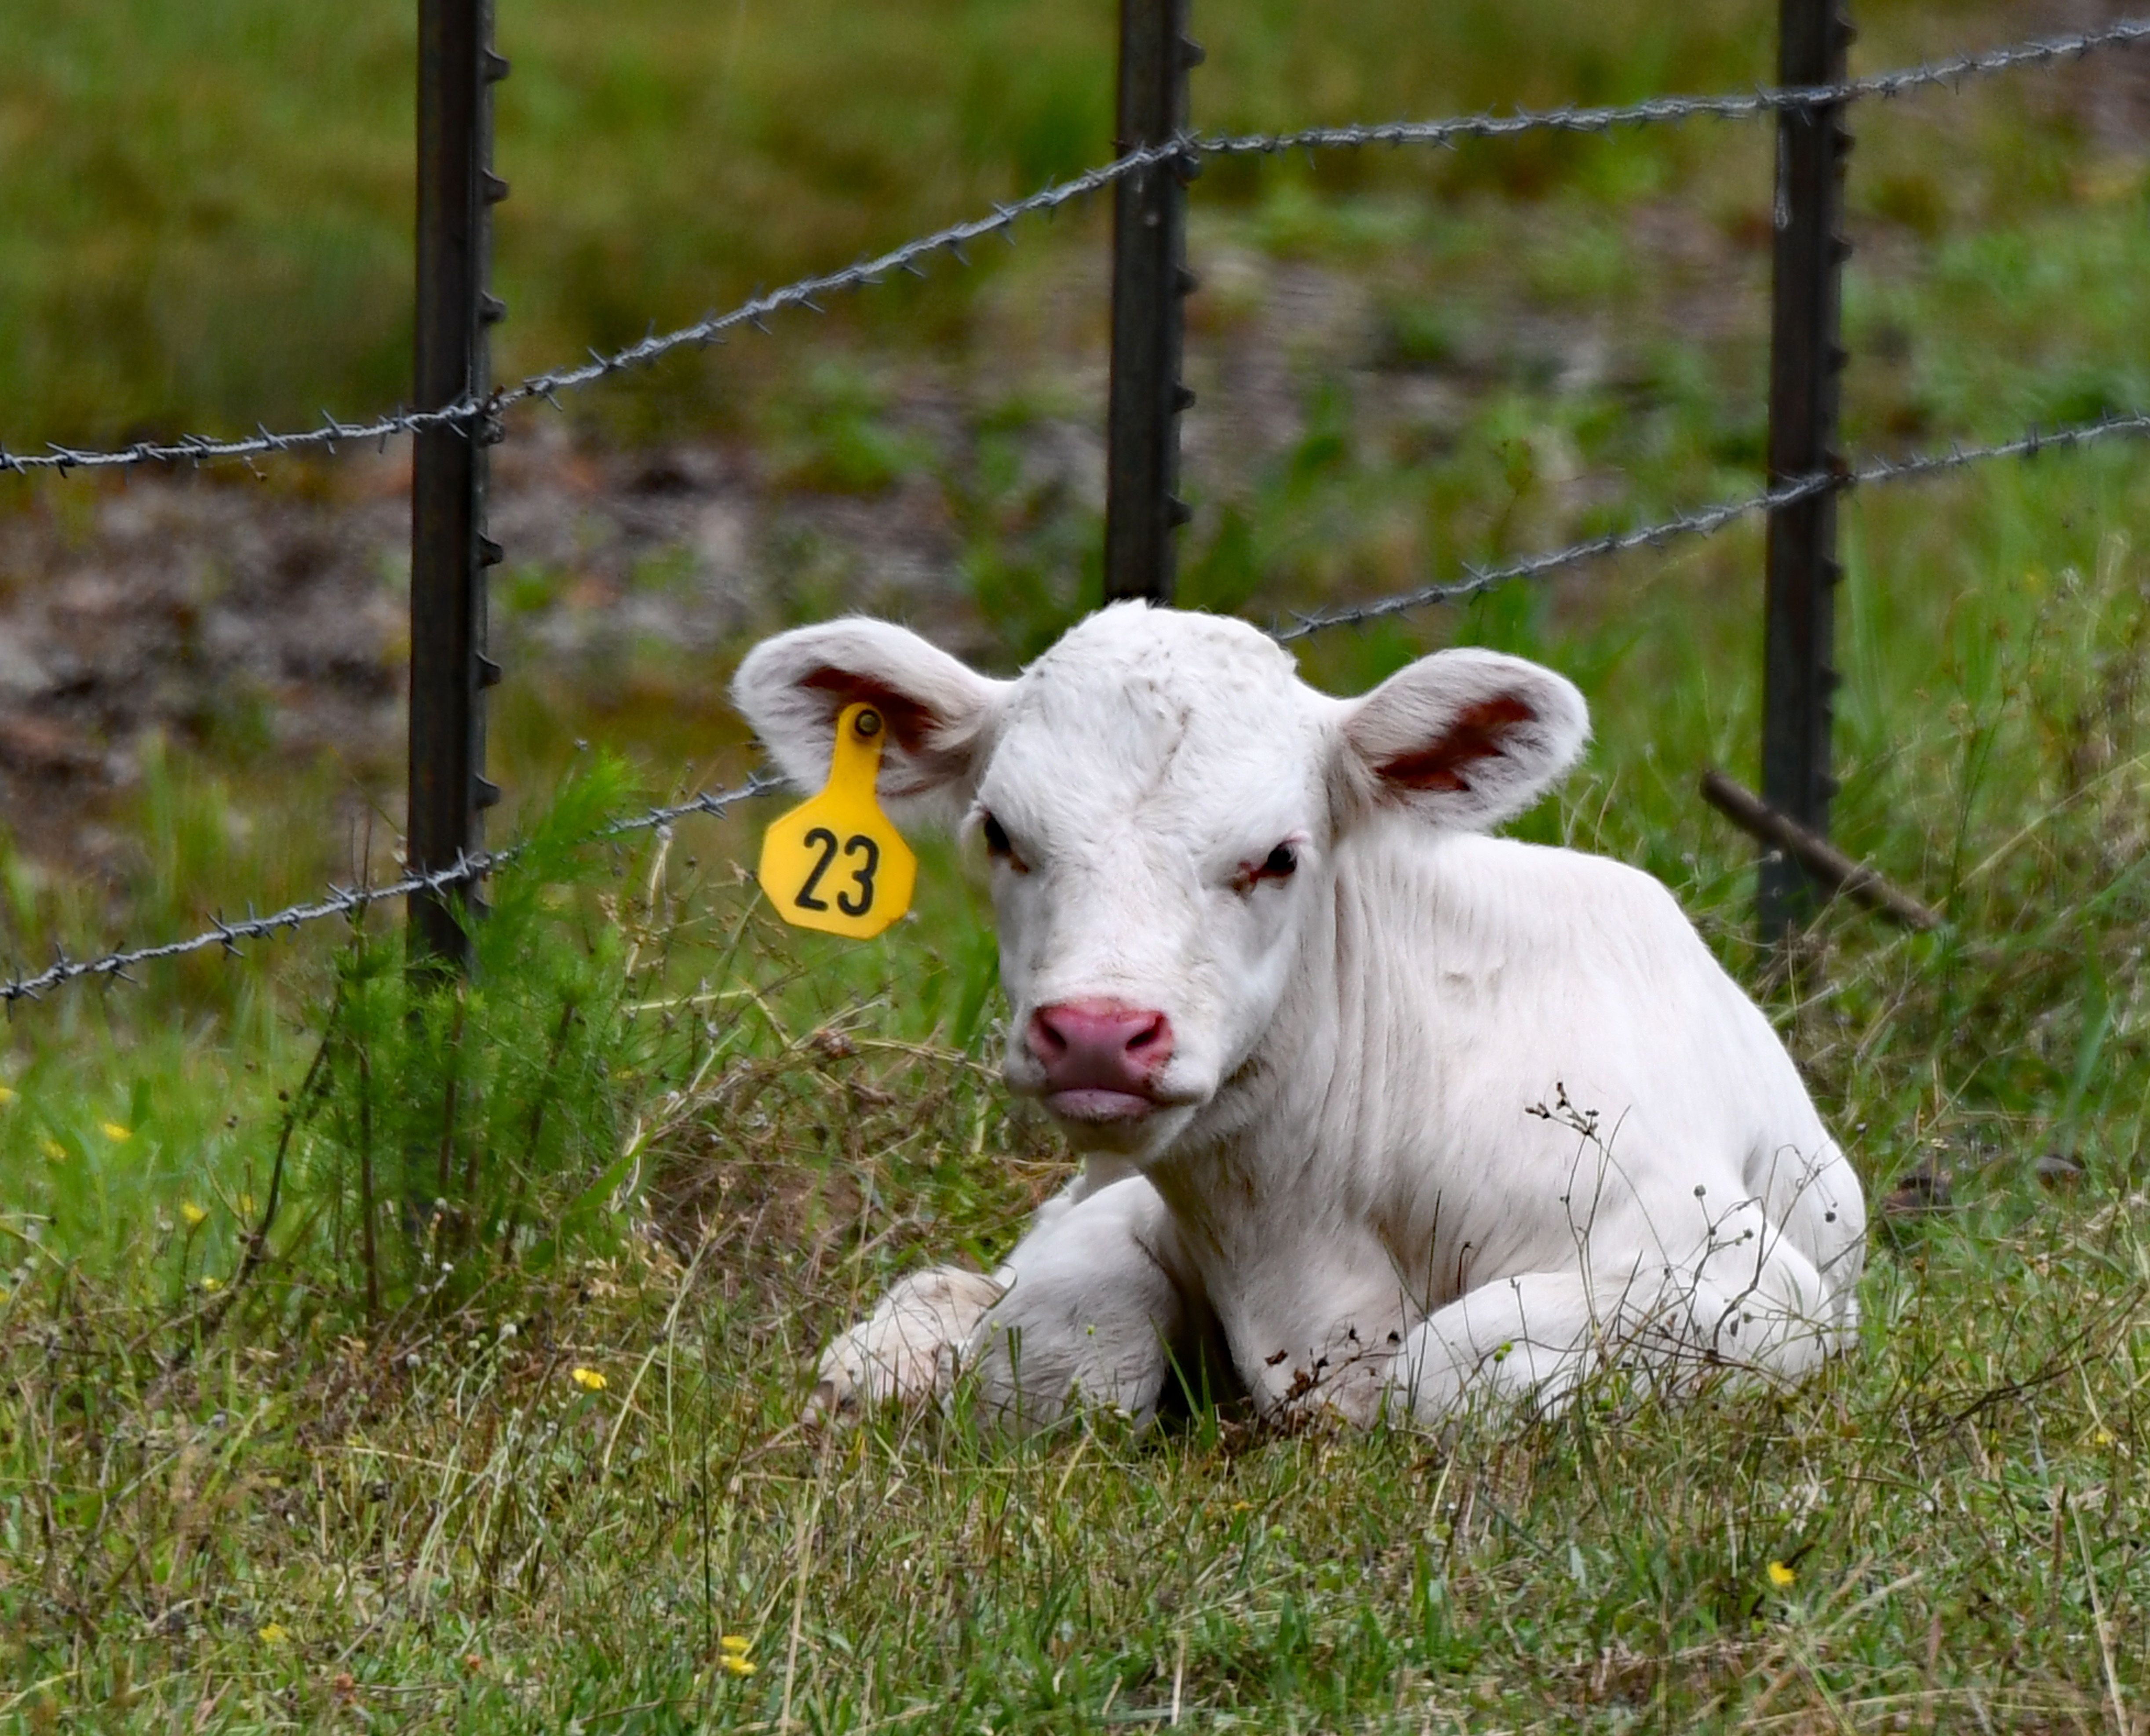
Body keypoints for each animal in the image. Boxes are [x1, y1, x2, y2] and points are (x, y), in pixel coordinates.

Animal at [732, 603, 1867, 1431]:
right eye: (1001, 833)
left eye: (1278, 855)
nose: (1098, 1031)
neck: (1296, 1238)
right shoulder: (1121, 1213)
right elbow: (1063, 1355)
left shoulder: (1737, 1277)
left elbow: (1447, 1368)